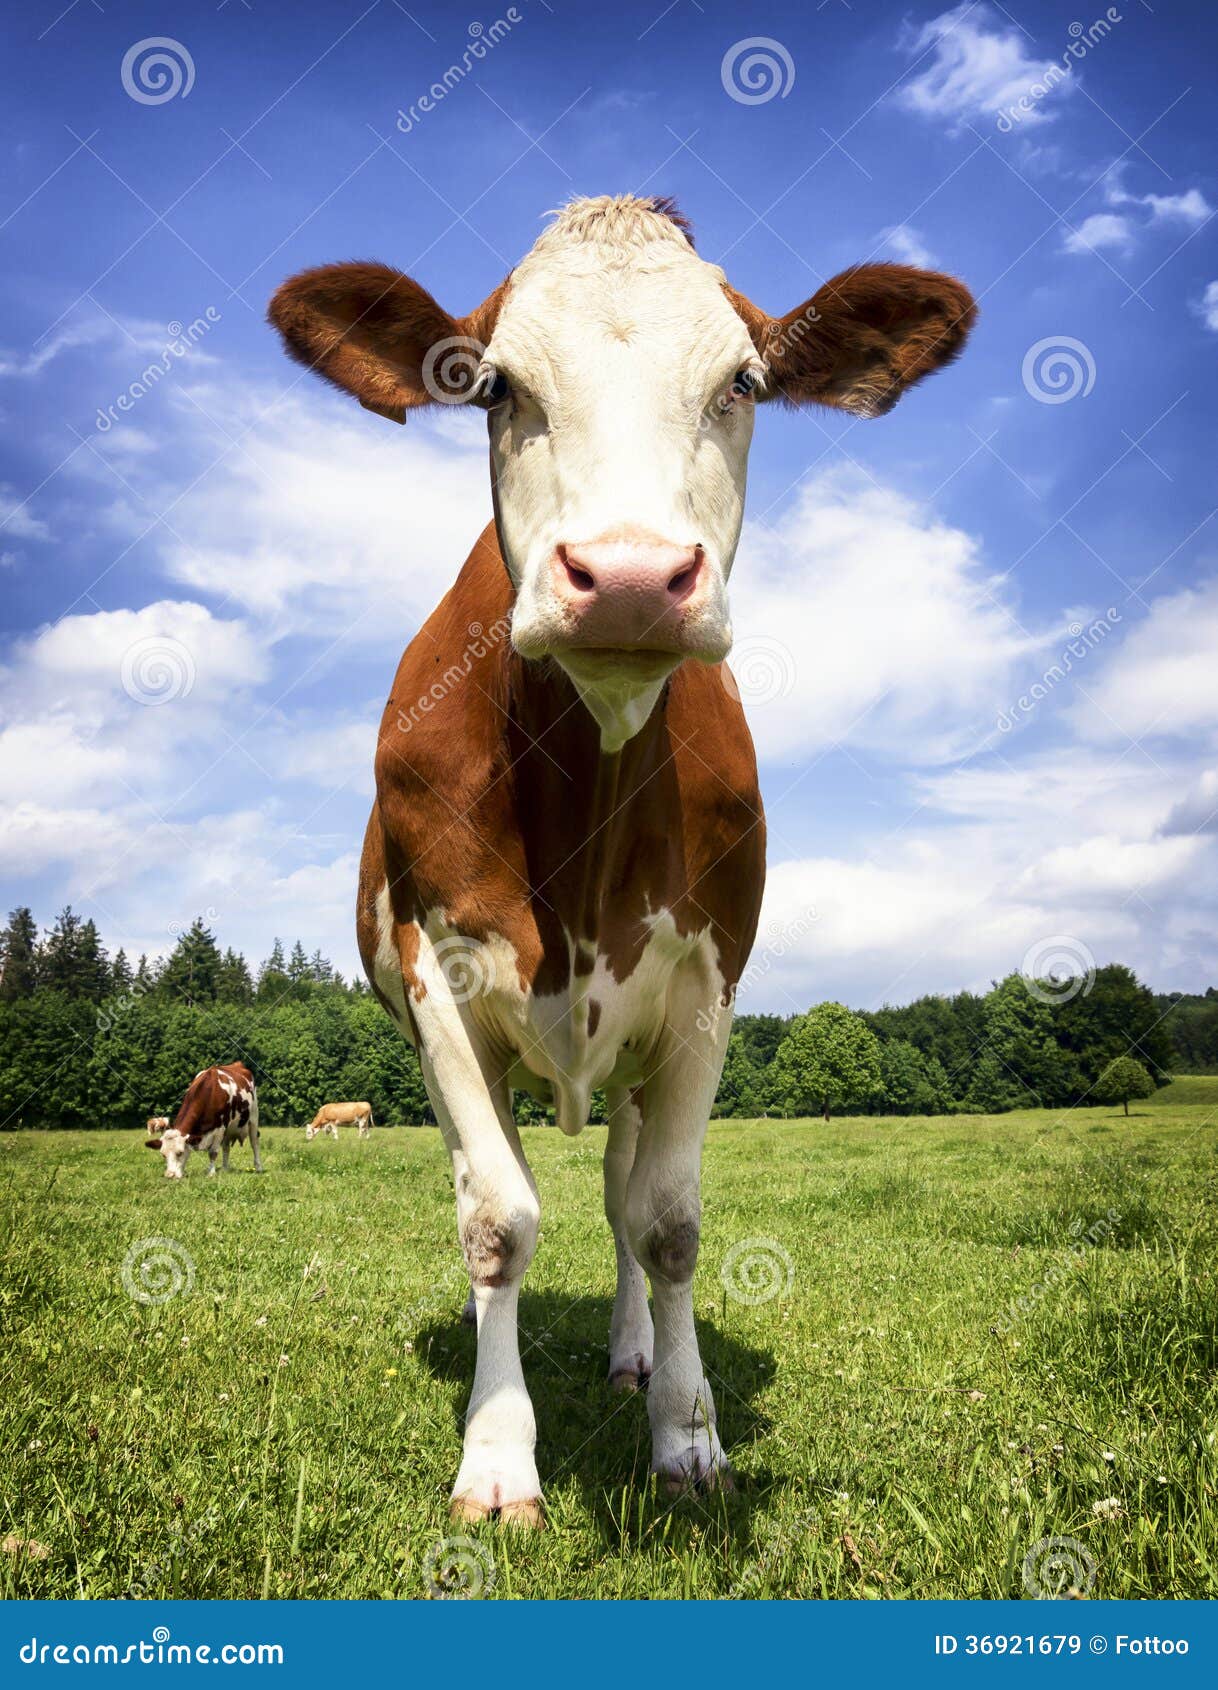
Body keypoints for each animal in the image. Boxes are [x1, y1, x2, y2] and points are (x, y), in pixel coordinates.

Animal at [269, 194, 974, 1526]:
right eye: (492, 385)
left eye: (744, 381)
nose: (634, 578)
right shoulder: (439, 973)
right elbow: (497, 1221)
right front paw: (497, 1455)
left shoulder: (704, 986)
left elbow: (669, 1224)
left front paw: (687, 1435)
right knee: (491, 1183)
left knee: (614, 1192)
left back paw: (635, 1353)